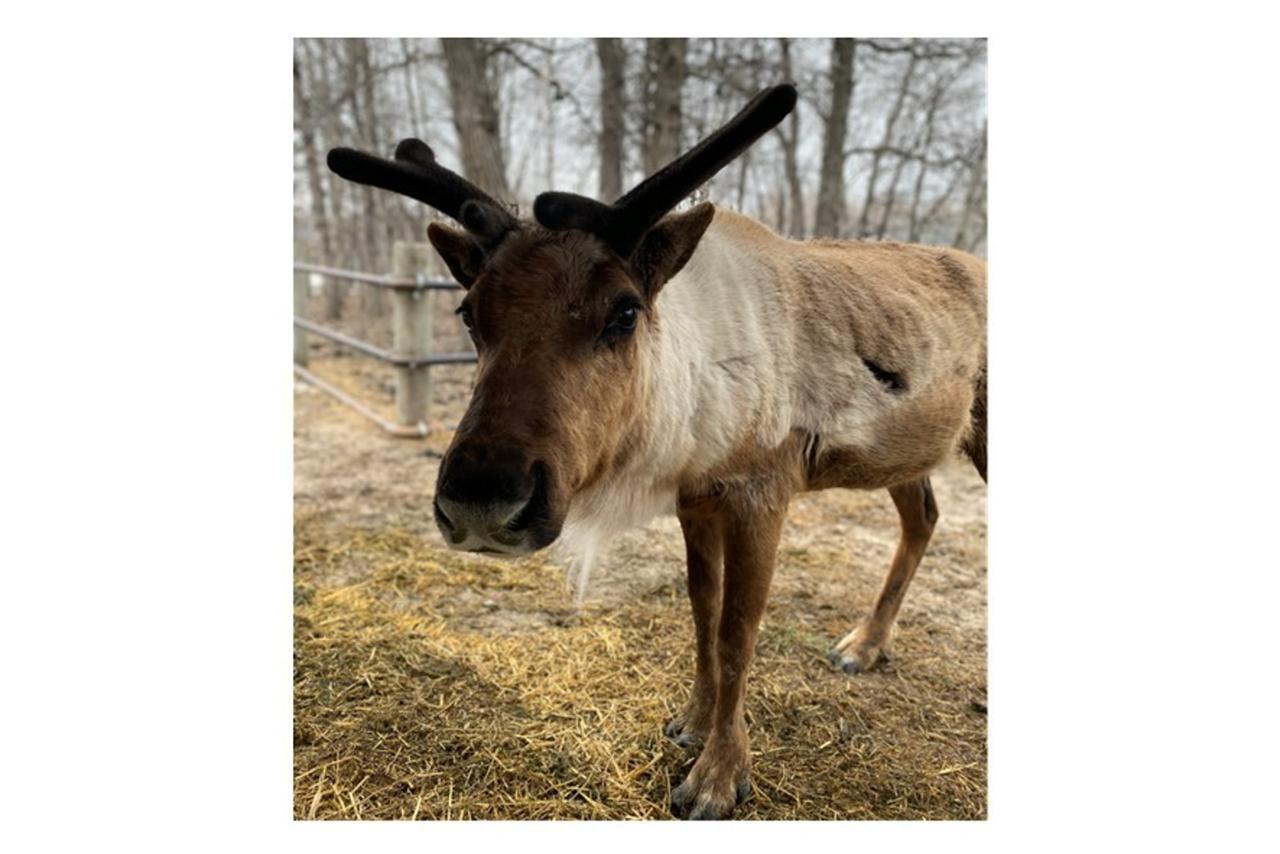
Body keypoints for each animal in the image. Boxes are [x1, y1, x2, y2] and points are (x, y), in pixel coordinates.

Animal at [327, 83, 987, 820]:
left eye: (624, 310)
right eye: (469, 312)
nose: (481, 498)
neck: (692, 389)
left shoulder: (762, 493)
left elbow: (736, 634)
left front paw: (719, 777)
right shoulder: (695, 499)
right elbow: (701, 613)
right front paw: (693, 724)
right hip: (912, 449)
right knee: (923, 516)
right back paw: (865, 645)